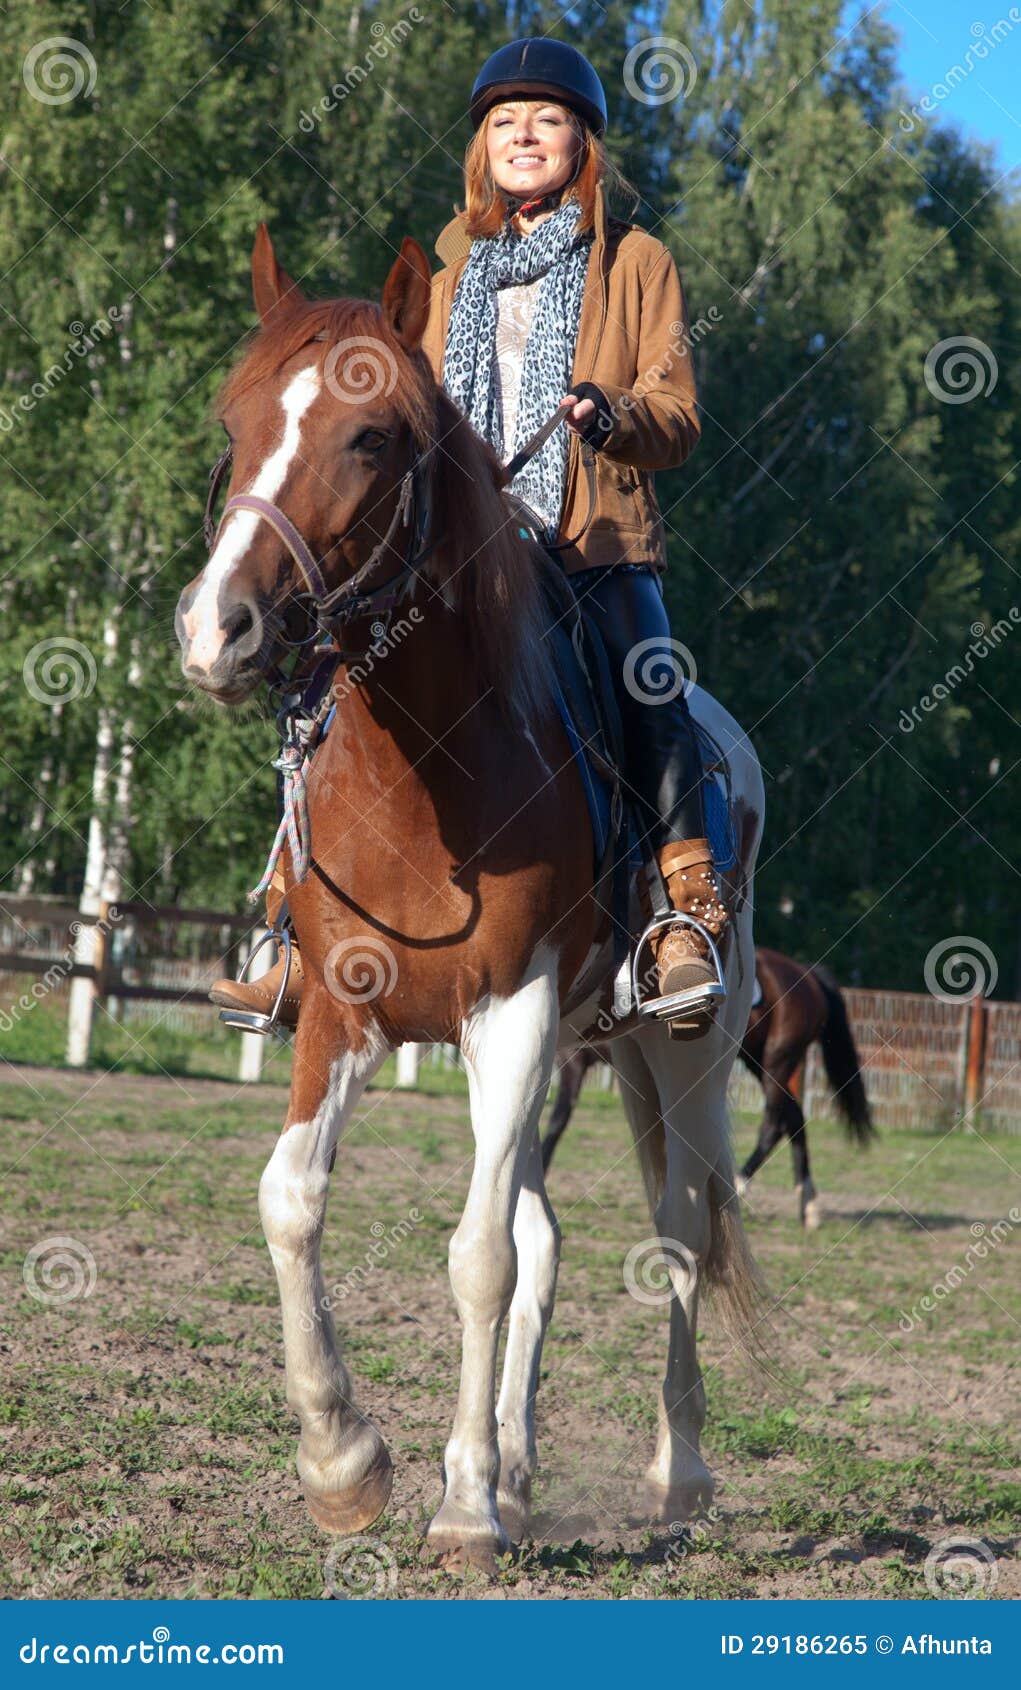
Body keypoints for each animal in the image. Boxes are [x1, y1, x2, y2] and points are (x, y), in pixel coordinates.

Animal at [174, 225, 766, 1571]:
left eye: (370, 437)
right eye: (235, 420)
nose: (215, 628)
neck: (429, 765)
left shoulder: (512, 1009)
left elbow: (479, 1255)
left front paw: (462, 1507)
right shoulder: (344, 1011)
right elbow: (292, 1202)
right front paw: (347, 1463)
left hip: (681, 1053)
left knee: (677, 1225)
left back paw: (679, 1469)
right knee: (554, 1240)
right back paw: (521, 1458)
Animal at [541, 946, 874, 1228]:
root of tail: (805, 973)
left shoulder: (572, 1062)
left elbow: (556, 1121)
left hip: (778, 1061)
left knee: (774, 1121)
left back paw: (741, 1185)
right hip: (759, 1060)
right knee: (793, 1118)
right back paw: (809, 1205)